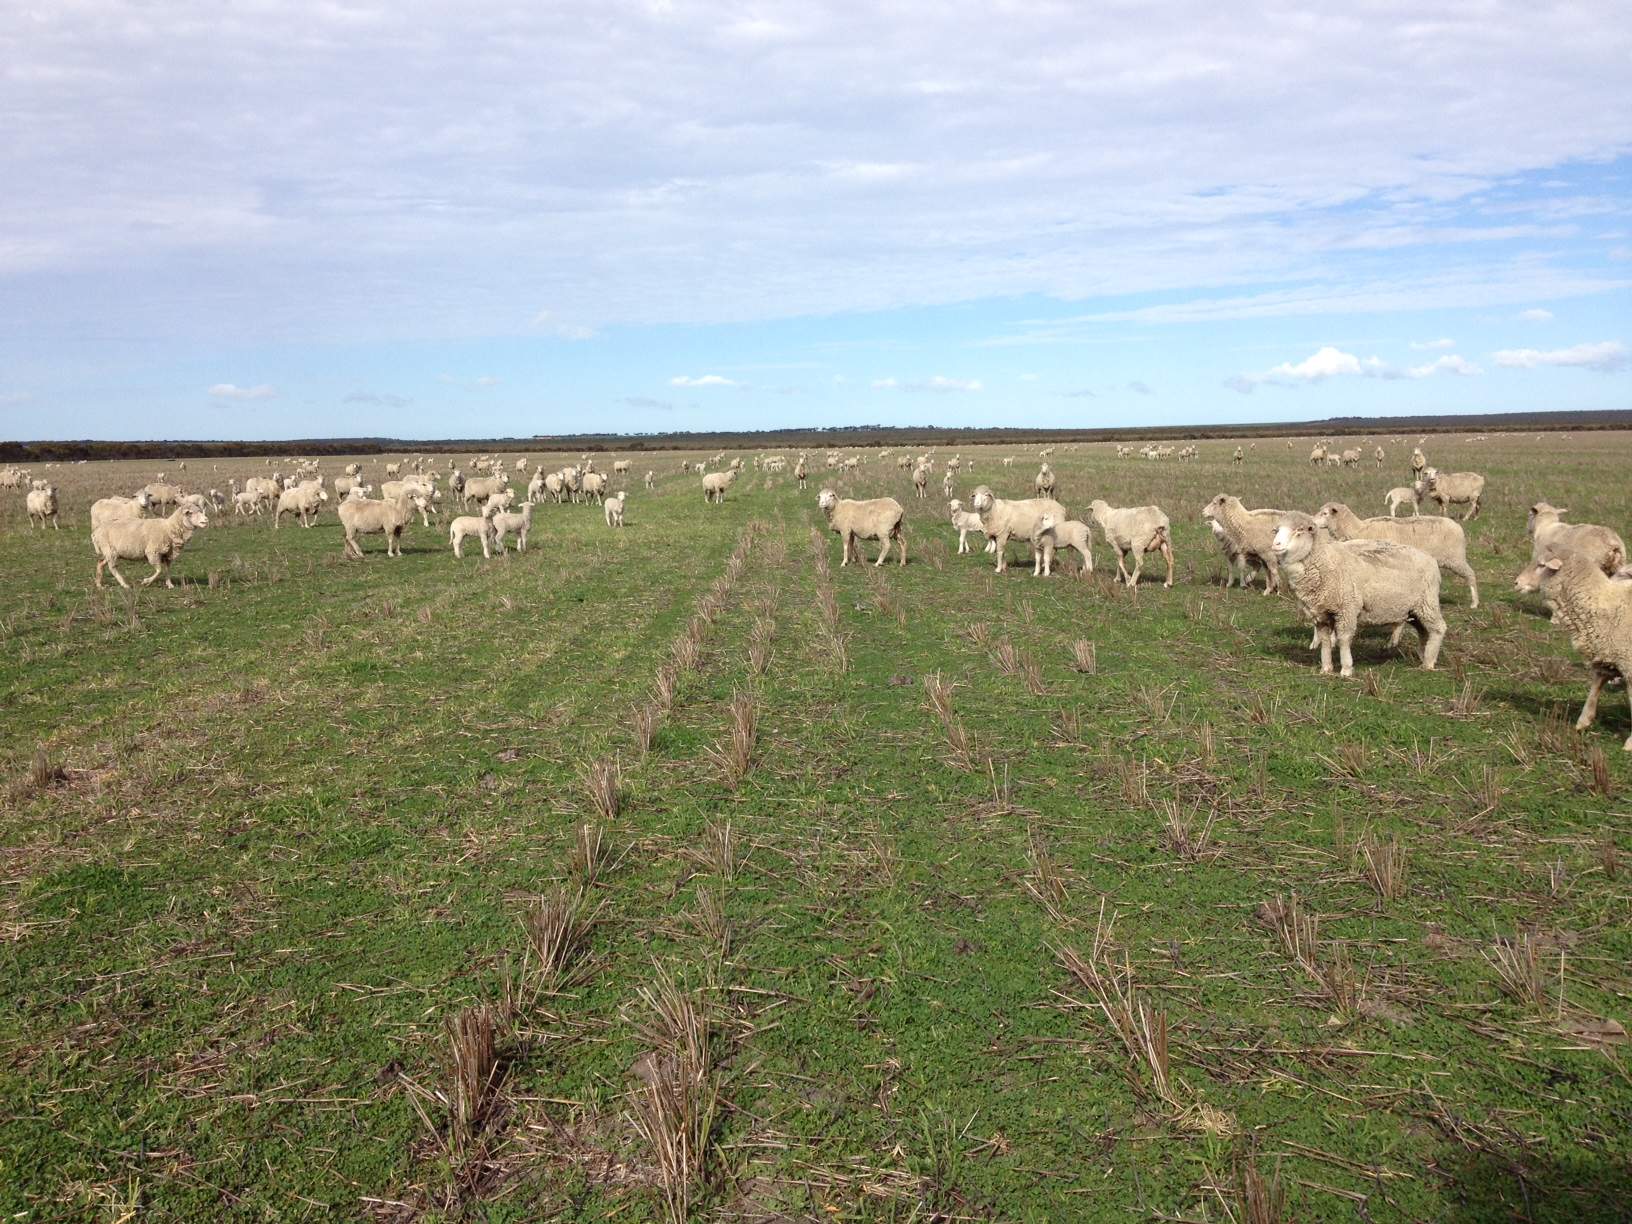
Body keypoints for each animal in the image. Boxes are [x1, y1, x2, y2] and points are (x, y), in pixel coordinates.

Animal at [1271, 519, 1445, 677]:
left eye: (1299, 530)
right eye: (1277, 530)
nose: (1275, 544)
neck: (1324, 560)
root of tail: (1430, 559)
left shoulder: (1346, 609)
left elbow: (1343, 639)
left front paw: (1346, 669)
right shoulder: (1321, 614)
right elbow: (1325, 640)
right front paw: (1326, 668)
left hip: (1427, 603)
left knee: (1438, 628)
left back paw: (1429, 662)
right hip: (1413, 610)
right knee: (1424, 631)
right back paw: (1423, 656)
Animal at [1313, 501, 1479, 608]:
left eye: (1325, 513)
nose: (1312, 523)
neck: (1359, 529)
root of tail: (1457, 526)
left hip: (1455, 558)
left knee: (1470, 574)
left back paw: (1474, 602)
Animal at [1531, 551, 1632, 750]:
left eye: (1541, 565)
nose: (1516, 582)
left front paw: (1630, 744)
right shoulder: (1606, 657)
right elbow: (1596, 686)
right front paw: (1583, 721)